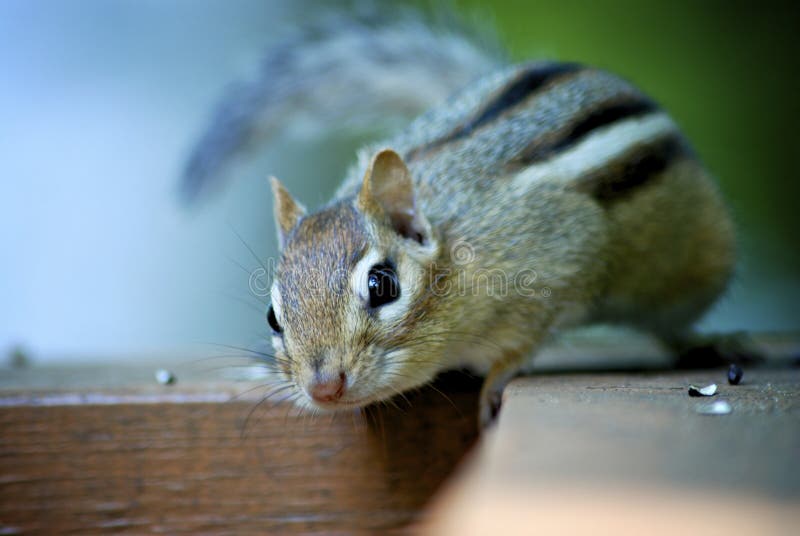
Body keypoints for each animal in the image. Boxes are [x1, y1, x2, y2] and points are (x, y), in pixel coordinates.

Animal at [184, 8, 736, 427]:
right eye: (272, 316)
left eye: (383, 286)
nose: (323, 388)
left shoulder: (561, 261)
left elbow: (525, 337)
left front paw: (495, 381)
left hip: (693, 275)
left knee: (672, 324)